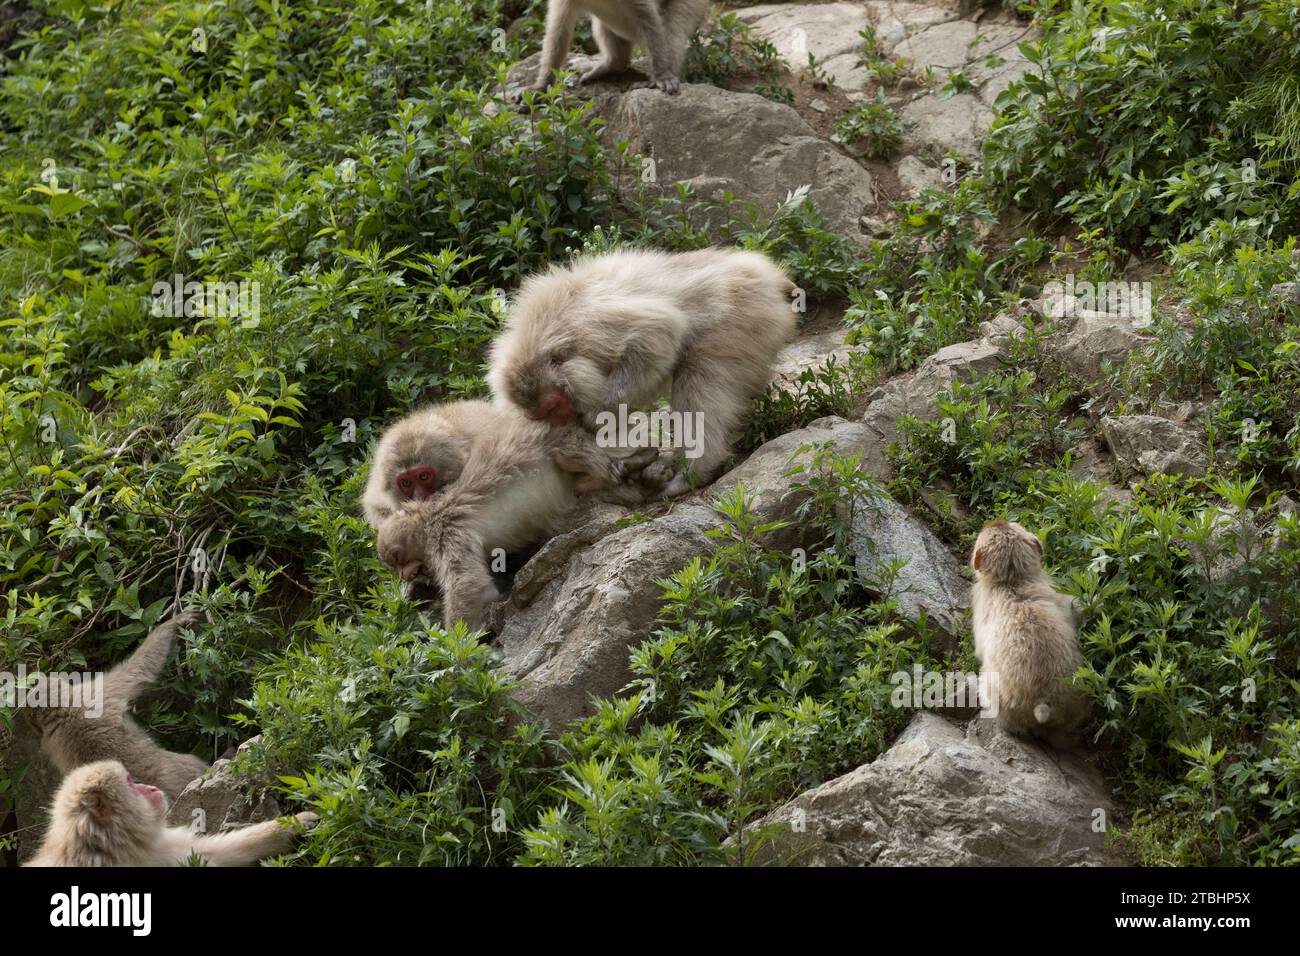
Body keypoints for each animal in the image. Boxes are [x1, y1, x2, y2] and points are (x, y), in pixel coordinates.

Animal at [374, 404, 655, 630]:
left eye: (397, 559)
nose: (404, 575)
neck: (428, 517)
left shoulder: (449, 535)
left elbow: (469, 585)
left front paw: (459, 653)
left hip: (561, 440)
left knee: (568, 453)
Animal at [487, 247, 798, 497]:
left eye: (554, 408)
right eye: (545, 415)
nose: (566, 421)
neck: (543, 331)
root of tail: (766, 273)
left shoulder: (589, 326)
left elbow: (655, 333)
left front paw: (597, 417)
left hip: (740, 316)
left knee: (700, 380)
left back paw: (694, 471)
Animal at [522, 0, 710, 96]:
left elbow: (647, 16)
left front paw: (662, 75)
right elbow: (559, 30)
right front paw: (541, 86)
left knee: (671, 24)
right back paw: (611, 64)